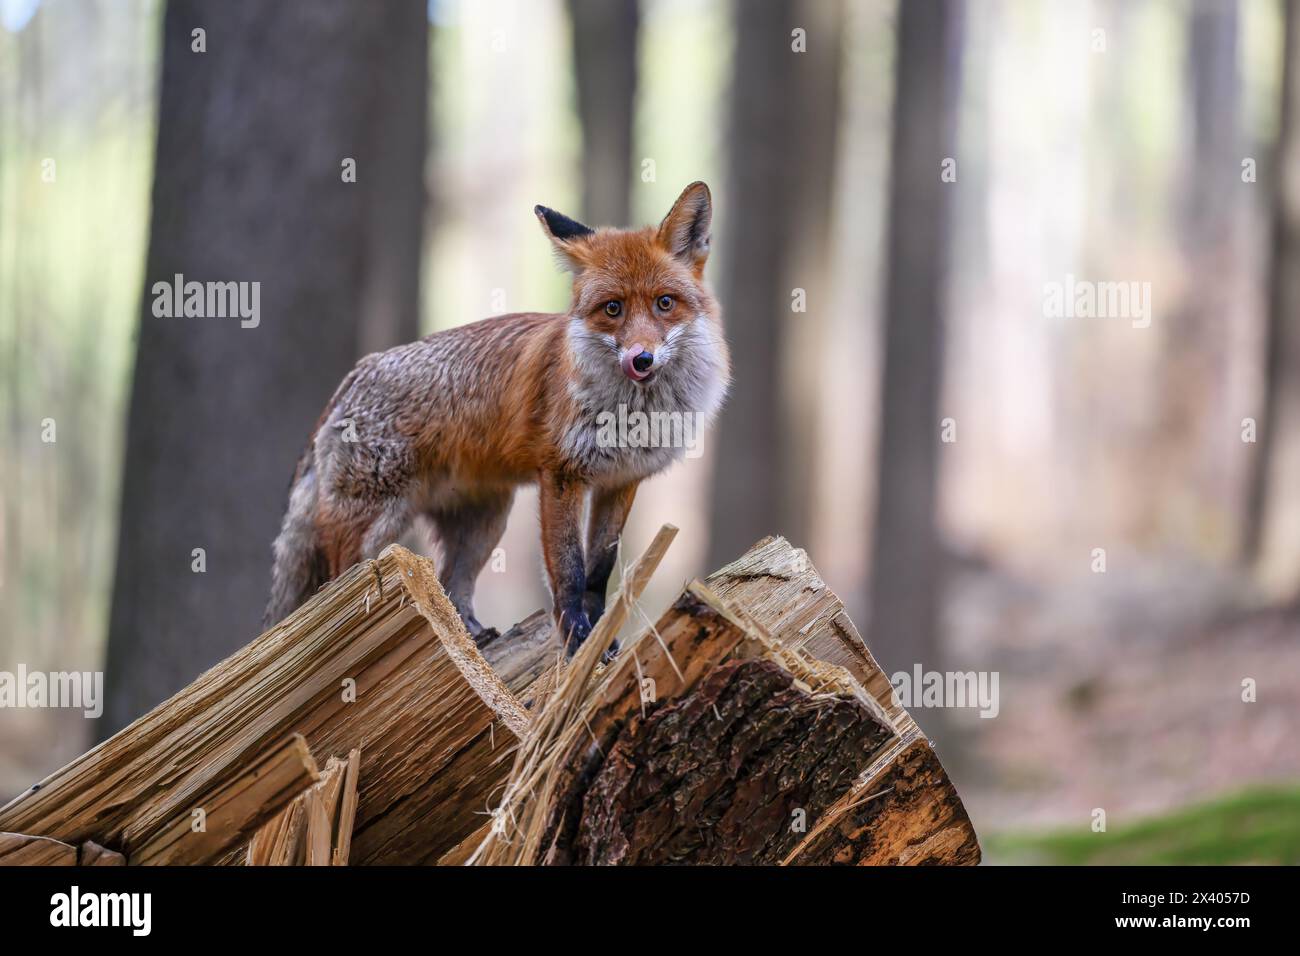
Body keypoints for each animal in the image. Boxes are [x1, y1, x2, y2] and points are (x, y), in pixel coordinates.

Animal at [264, 182, 730, 656]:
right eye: (613, 308)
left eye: (664, 303)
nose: (641, 359)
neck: (637, 414)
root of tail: (354, 375)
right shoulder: (561, 474)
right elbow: (569, 571)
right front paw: (577, 642)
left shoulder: (621, 481)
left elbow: (599, 571)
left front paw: (600, 640)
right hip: (371, 528)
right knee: (338, 589)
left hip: (484, 527)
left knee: (452, 587)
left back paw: (472, 637)